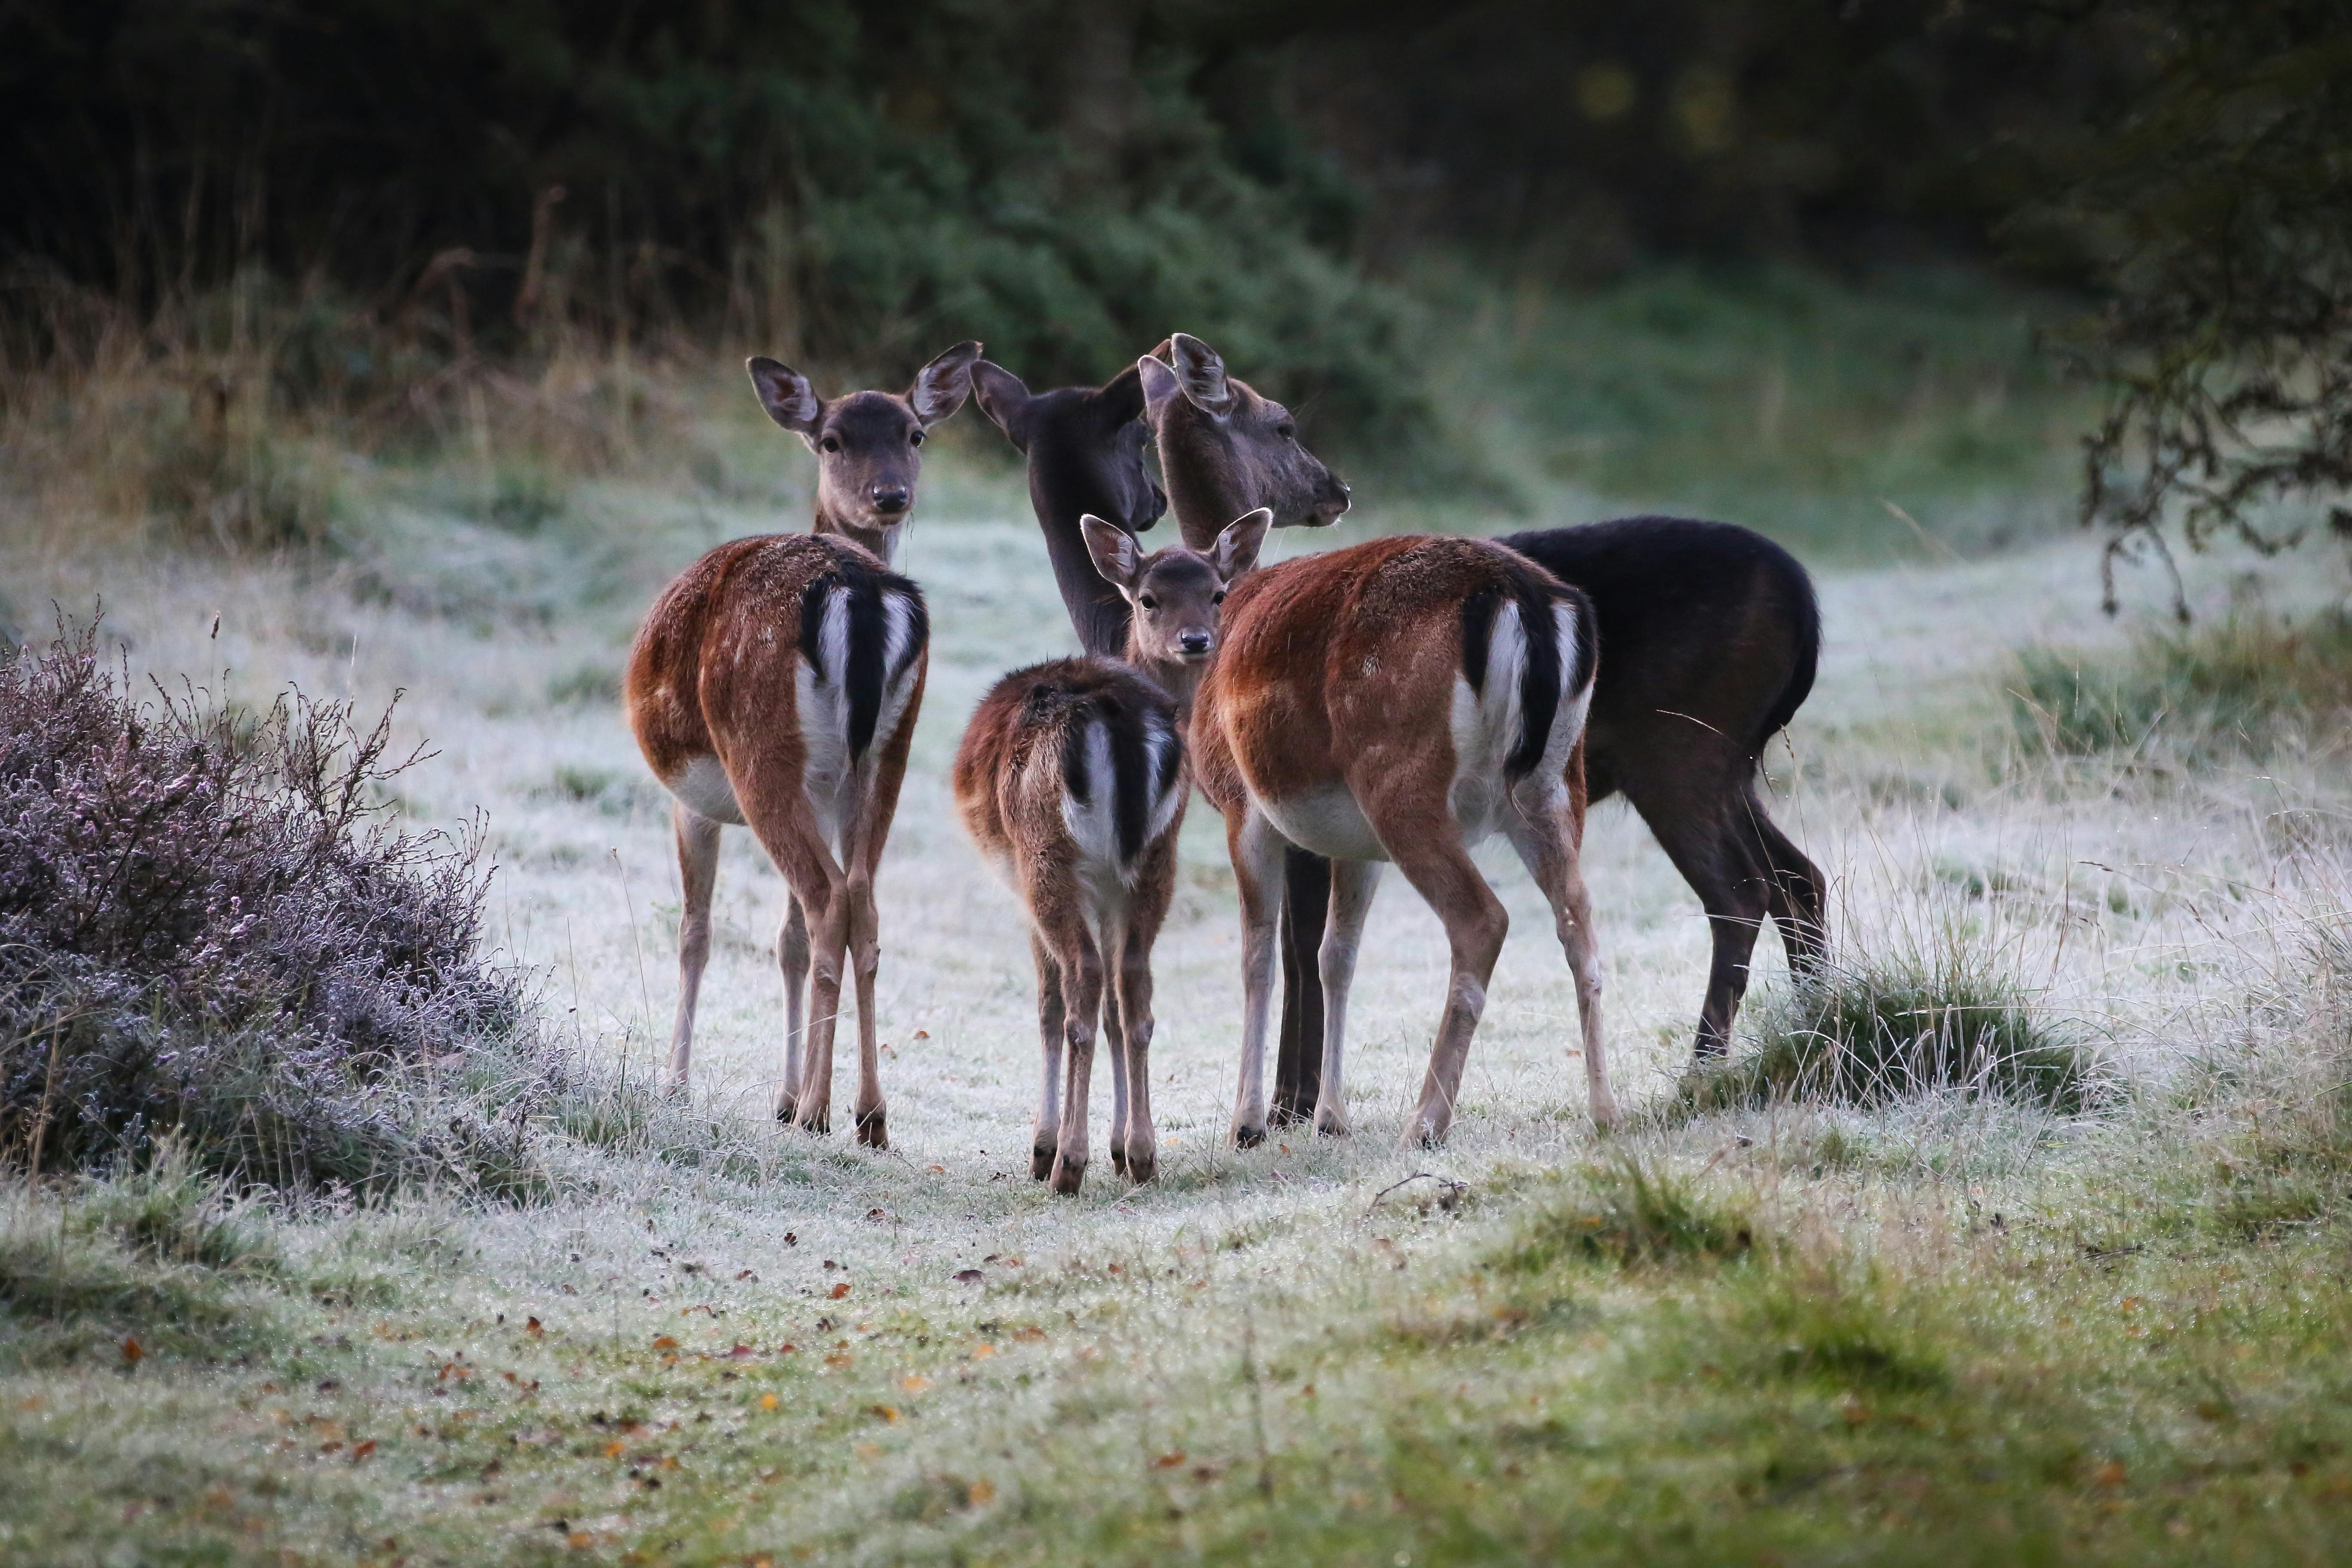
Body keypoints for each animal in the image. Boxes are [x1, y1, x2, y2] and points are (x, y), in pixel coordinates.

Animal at [951, 510, 1267, 1193]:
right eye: (1149, 599)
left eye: (1217, 594)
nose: (1197, 640)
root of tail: (1118, 715)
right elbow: (1124, 1010)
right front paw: (1124, 1149)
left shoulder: (1023, 887)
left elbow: (1048, 1006)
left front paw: (1045, 1147)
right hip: (1155, 860)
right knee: (1135, 987)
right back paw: (1144, 1154)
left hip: (1047, 858)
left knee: (1083, 990)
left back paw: (1067, 1163)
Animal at [1187, 524, 1614, 1146]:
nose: (1189, 640)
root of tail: (1525, 596)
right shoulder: (1357, 845)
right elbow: (1336, 954)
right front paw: (1330, 1117)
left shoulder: (1241, 805)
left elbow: (1257, 955)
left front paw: (1247, 1123)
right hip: (1554, 784)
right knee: (1578, 920)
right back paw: (1606, 1111)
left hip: (1400, 780)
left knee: (1483, 918)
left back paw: (1425, 1121)